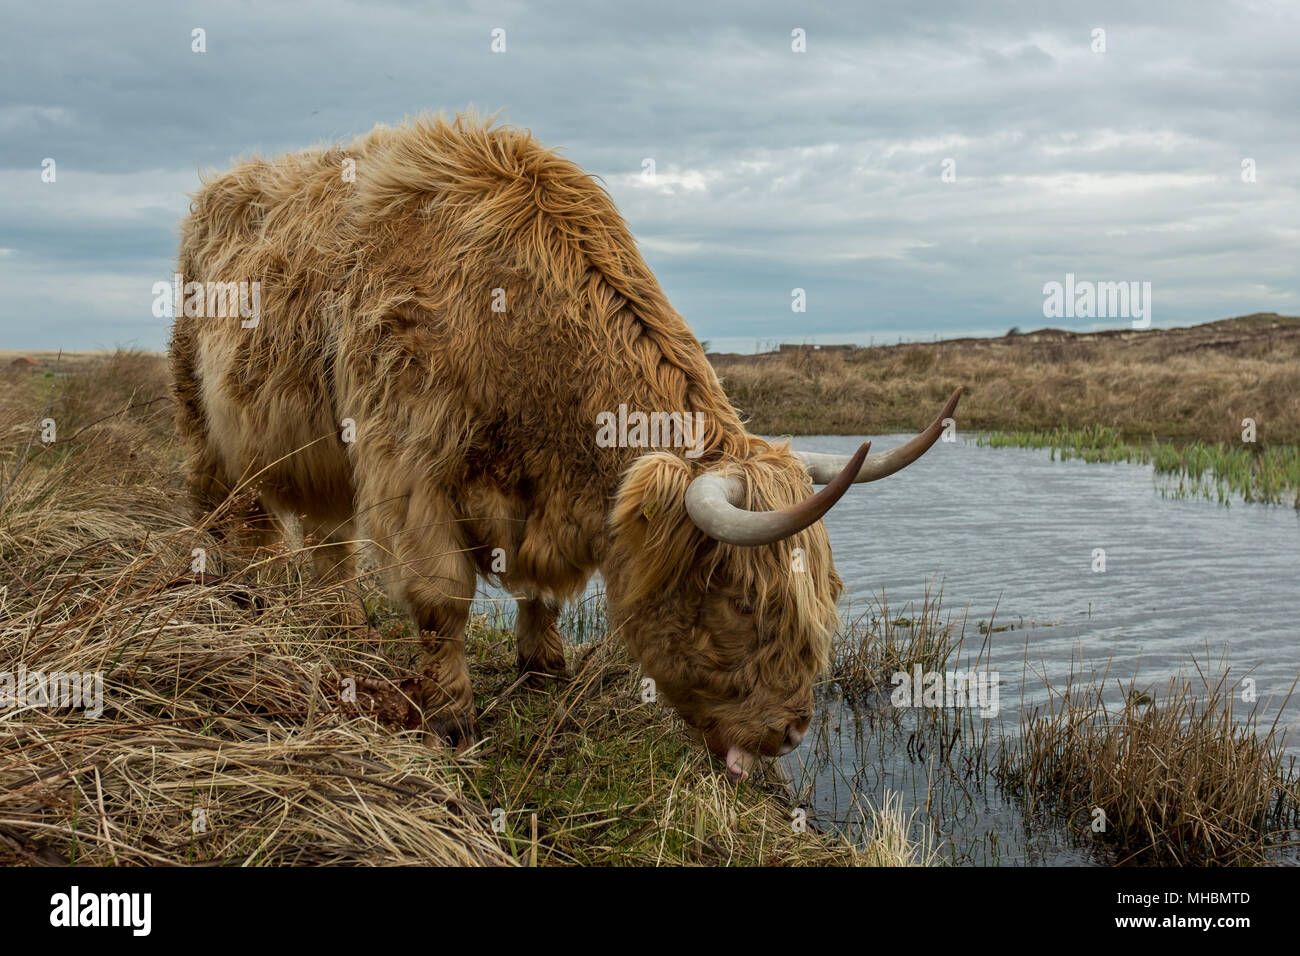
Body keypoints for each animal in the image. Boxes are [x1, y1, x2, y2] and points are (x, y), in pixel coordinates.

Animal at [169, 114, 960, 781]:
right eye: (740, 603)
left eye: (824, 593)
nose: (791, 734)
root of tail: (220, 186)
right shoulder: (407, 460)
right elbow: (443, 596)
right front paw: (451, 717)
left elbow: (539, 592)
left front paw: (543, 664)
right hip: (203, 411)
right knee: (224, 504)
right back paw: (232, 590)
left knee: (328, 537)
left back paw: (343, 624)